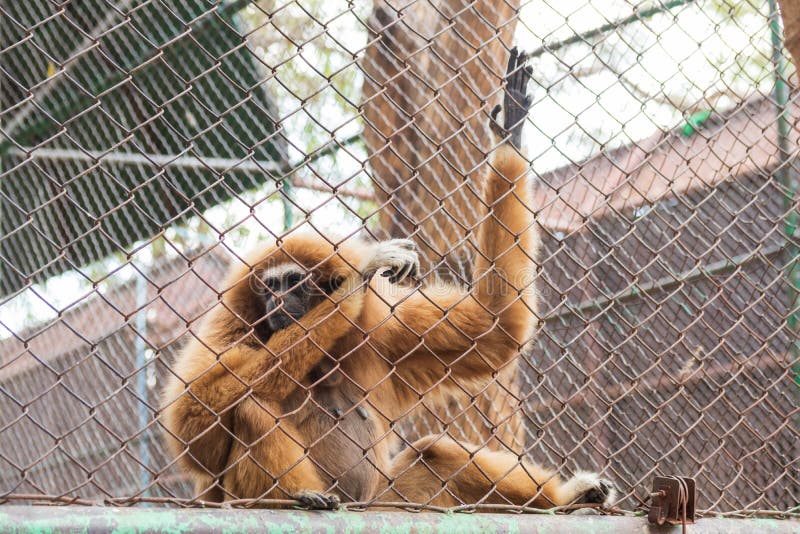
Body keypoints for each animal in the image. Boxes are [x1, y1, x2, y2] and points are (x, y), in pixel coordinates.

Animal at [160, 47, 615, 510]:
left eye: (293, 283)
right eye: (270, 285)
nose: (275, 302)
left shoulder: (383, 328)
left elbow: (495, 325)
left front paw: (509, 137)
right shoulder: (230, 324)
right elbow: (193, 422)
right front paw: (353, 284)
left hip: (387, 498)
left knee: (434, 451)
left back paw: (566, 501)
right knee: (251, 405)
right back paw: (298, 497)